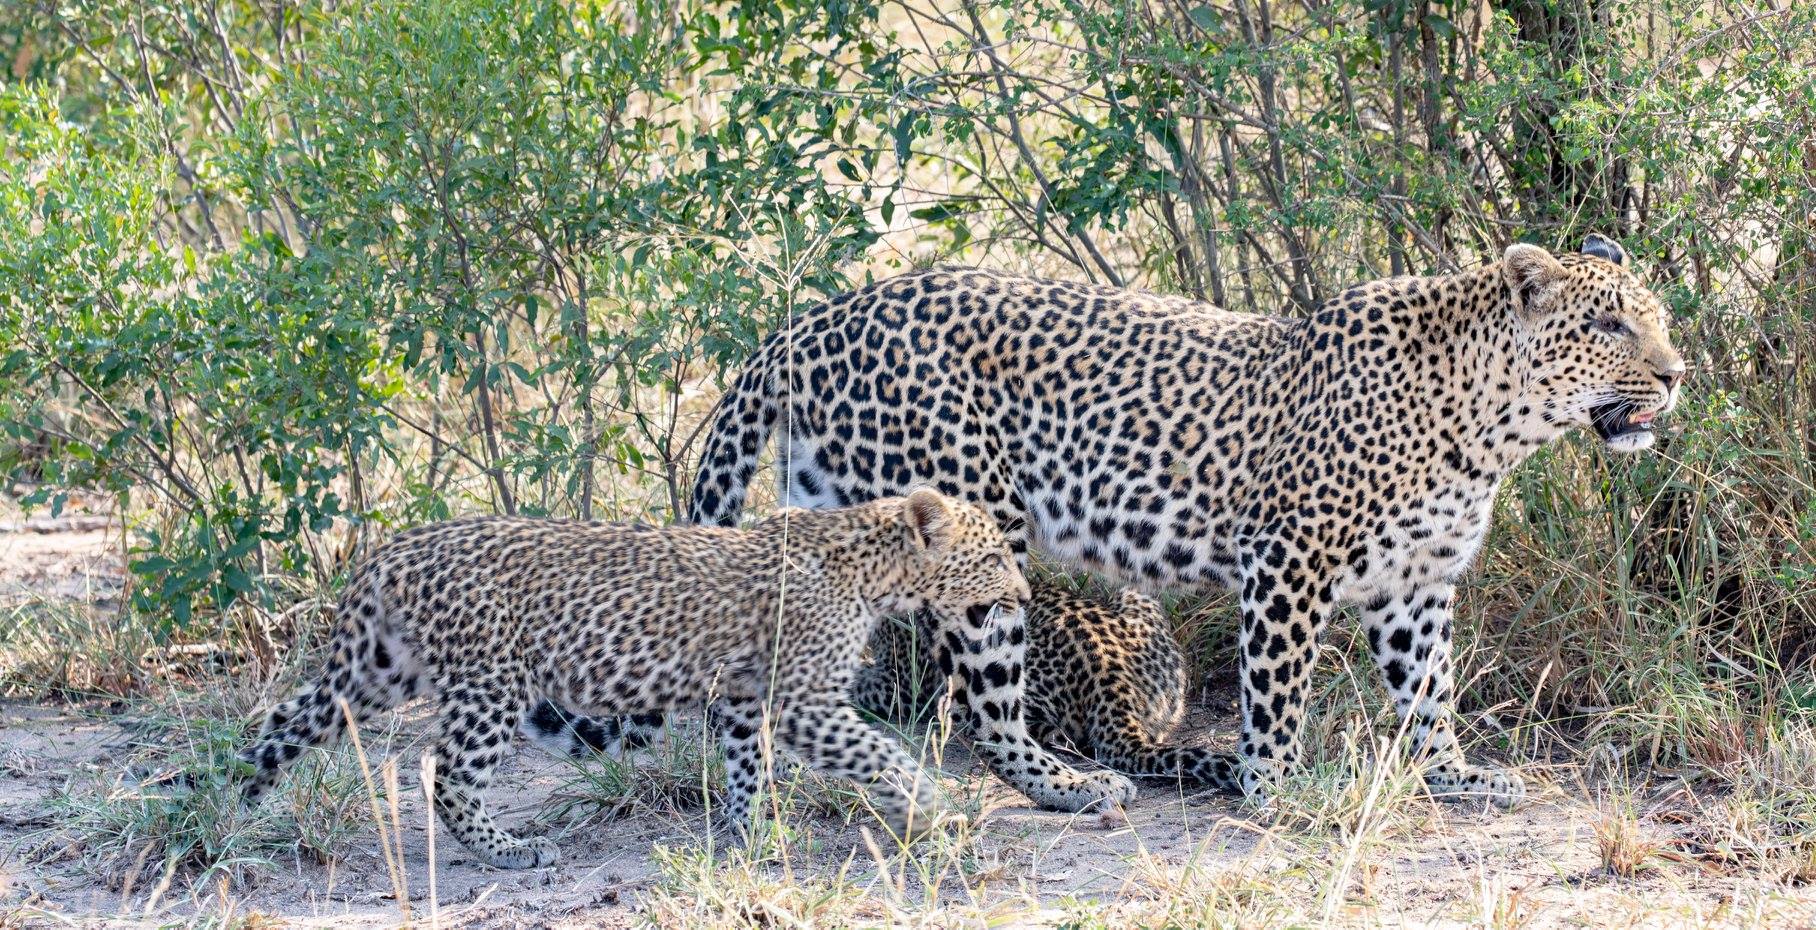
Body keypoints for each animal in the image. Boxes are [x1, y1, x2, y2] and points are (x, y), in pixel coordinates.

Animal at [237, 490, 1135, 869]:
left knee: (280, 724)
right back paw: (510, 851)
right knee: (448, 773)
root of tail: (388, 549)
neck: (875, 570)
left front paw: (752, 833)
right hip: (492, 680)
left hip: (376, 671)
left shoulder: (743, 695)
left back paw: (230, 810)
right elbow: (882, 753)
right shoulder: (804, 701)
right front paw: (939, 806)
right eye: (989, 559)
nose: (1024, 597)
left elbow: (746, 766)